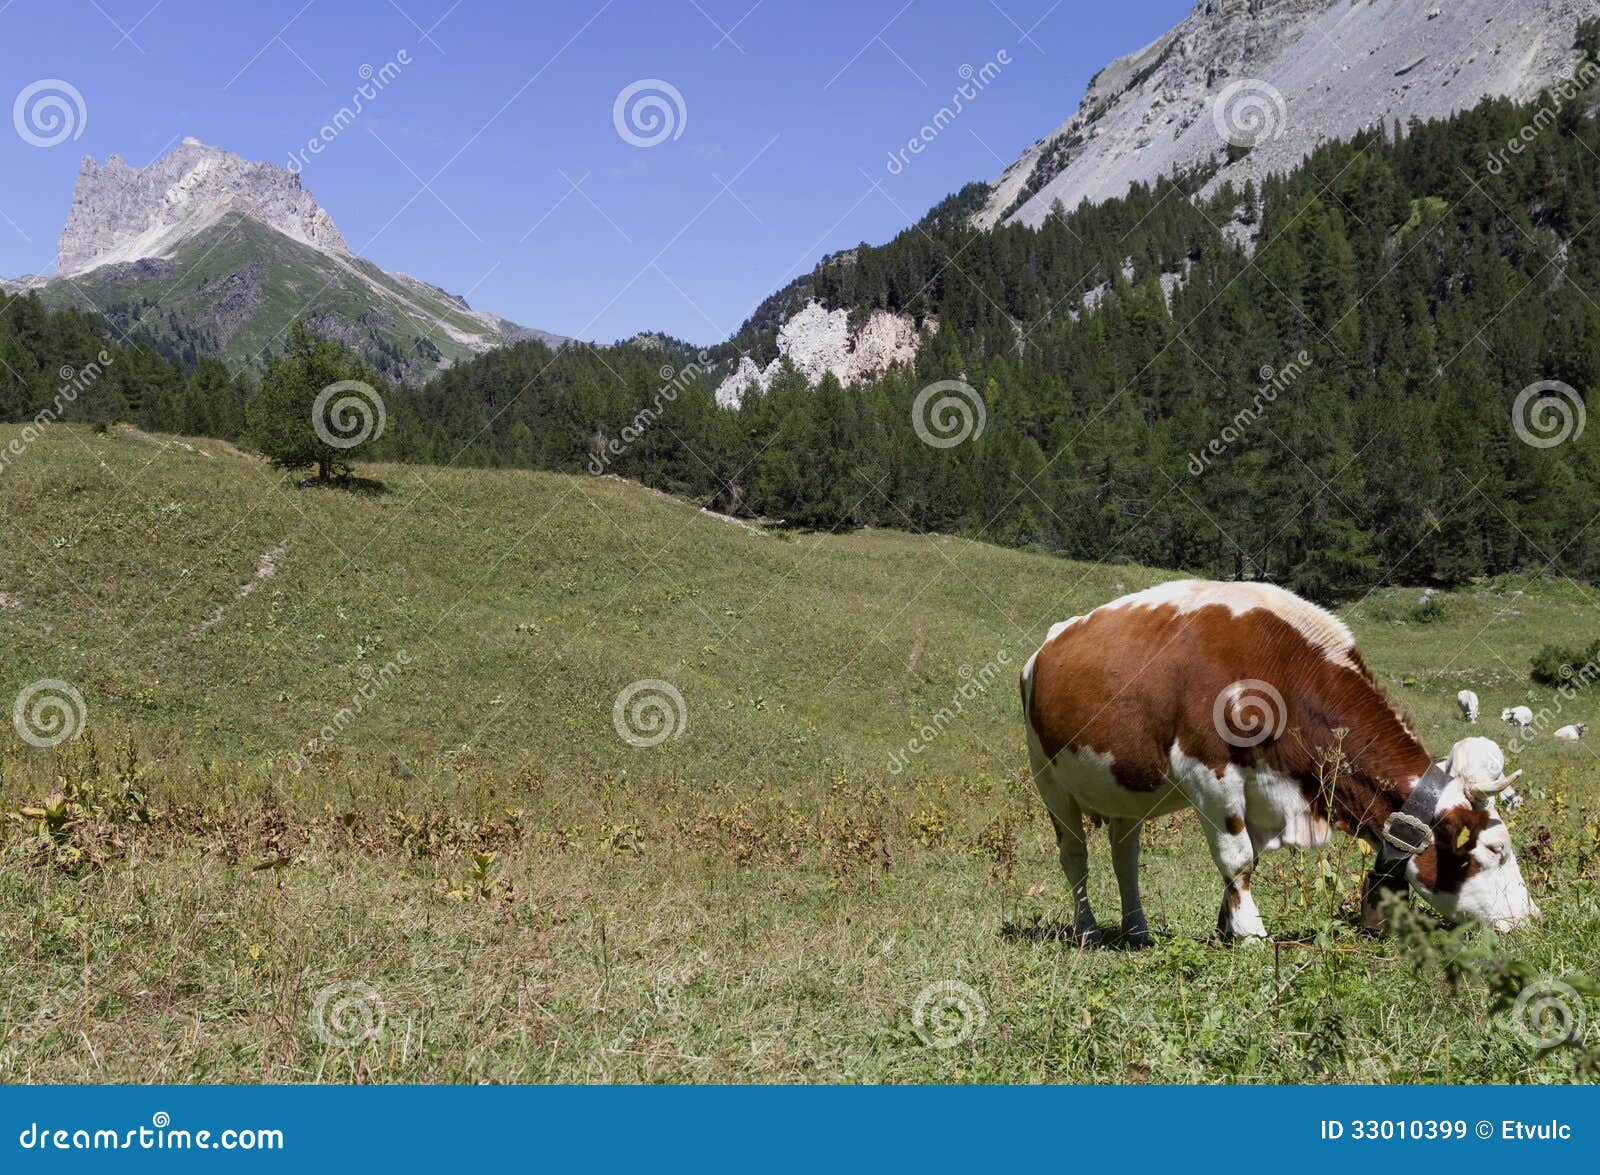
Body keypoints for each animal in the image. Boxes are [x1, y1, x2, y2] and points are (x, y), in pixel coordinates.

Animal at [1021, 580, 1537, 945]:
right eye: (1497, 850)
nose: (1531, 917)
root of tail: (1043, 649)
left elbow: (1247, 859)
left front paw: (1227, 926)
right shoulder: (1209, 774)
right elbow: (1236, 856)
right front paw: (1249, 932)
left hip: (1125, 791)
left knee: (1124, 856)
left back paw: (1137, 931)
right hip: (1049, 781)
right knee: (1075, 857)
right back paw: (1087, 930)